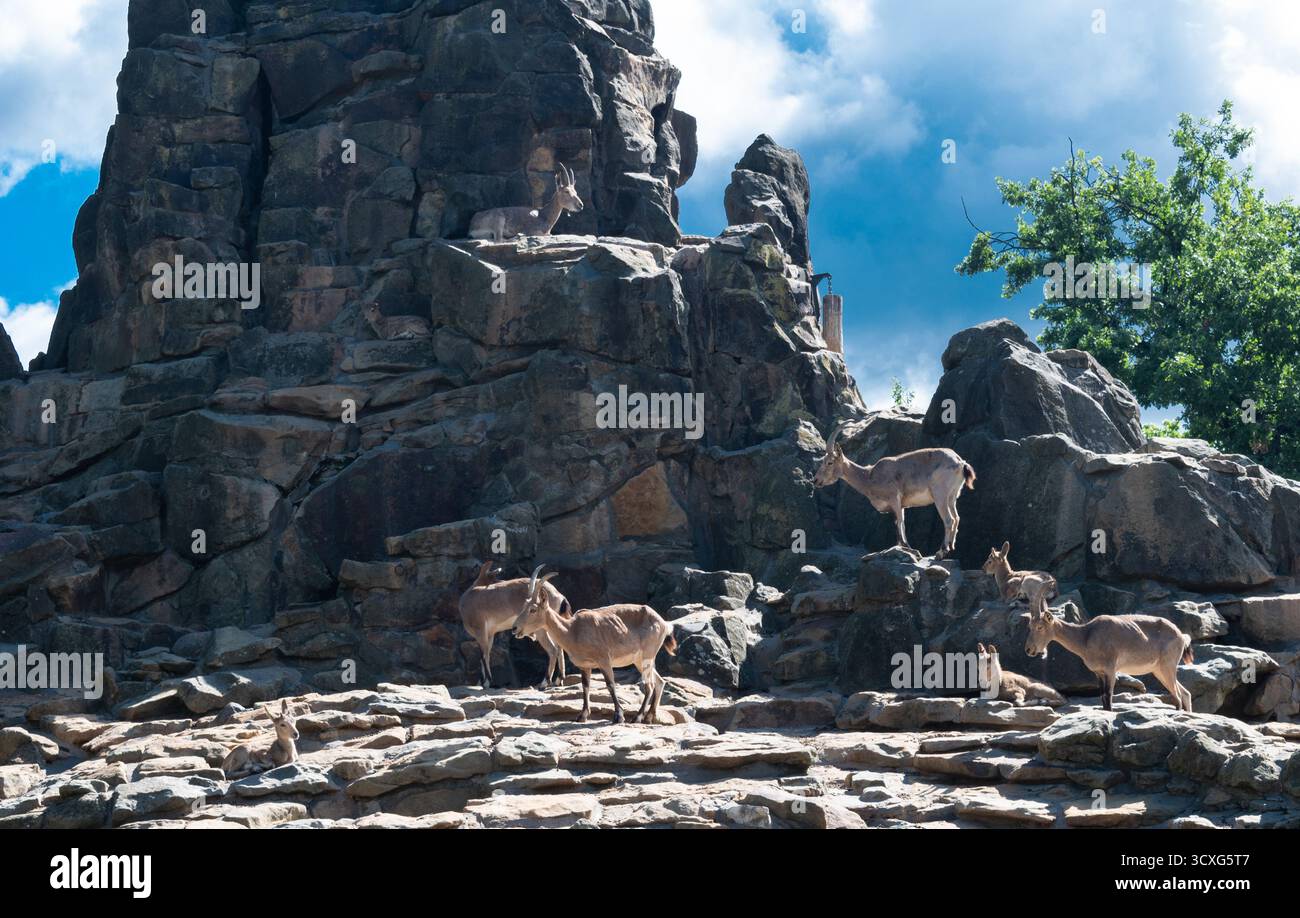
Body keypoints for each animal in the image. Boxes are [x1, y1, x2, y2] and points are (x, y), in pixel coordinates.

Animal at [458, 560, 568, 688]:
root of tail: (559, 596)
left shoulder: (480, 631)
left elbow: (483, 655)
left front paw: (487, 682)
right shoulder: (489, 634)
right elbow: (486, 654)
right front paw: (482, 682)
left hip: (541, 629)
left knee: (552, 649)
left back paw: (545, 682)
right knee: (559, 647)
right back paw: (559, 680)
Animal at [514, 565, 677, 725]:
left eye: (533, 609)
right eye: (523, 606)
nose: (515, 628)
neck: (572, 631)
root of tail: (663, 623)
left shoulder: (604, 660)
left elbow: (610, 685)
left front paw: (618, 716)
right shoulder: (585, 666)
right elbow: (585, 686)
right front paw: (582, 715)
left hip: (647, 656)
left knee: (649, 685)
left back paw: (637, 717)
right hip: (640, 659)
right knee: (660, 682)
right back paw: (649, 717)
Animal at [813, 421, 975, 559]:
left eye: (829, 462)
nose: (816, 480)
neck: (869, 476)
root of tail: (960, 462)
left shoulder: (894, 498)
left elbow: (900, 523)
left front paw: (909, 548)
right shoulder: (900, 505)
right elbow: (899, 524)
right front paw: (903, 548)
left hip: (940, 494)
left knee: (949, 519)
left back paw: (941, 552)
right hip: (952, 496)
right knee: (957, 518)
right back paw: (951, 547)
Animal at [1024, 596, 1194, 712]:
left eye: (1040, 627)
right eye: (1029, 626)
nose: (1029, 649)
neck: (1086, 636)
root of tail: (1181, 635)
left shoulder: (1111, 670)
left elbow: (1108, 696)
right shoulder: (1099, 673)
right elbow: (1103, 698)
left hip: (1168, 666)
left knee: (1178, 696)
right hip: (1159, 670)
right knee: (1185, 693)